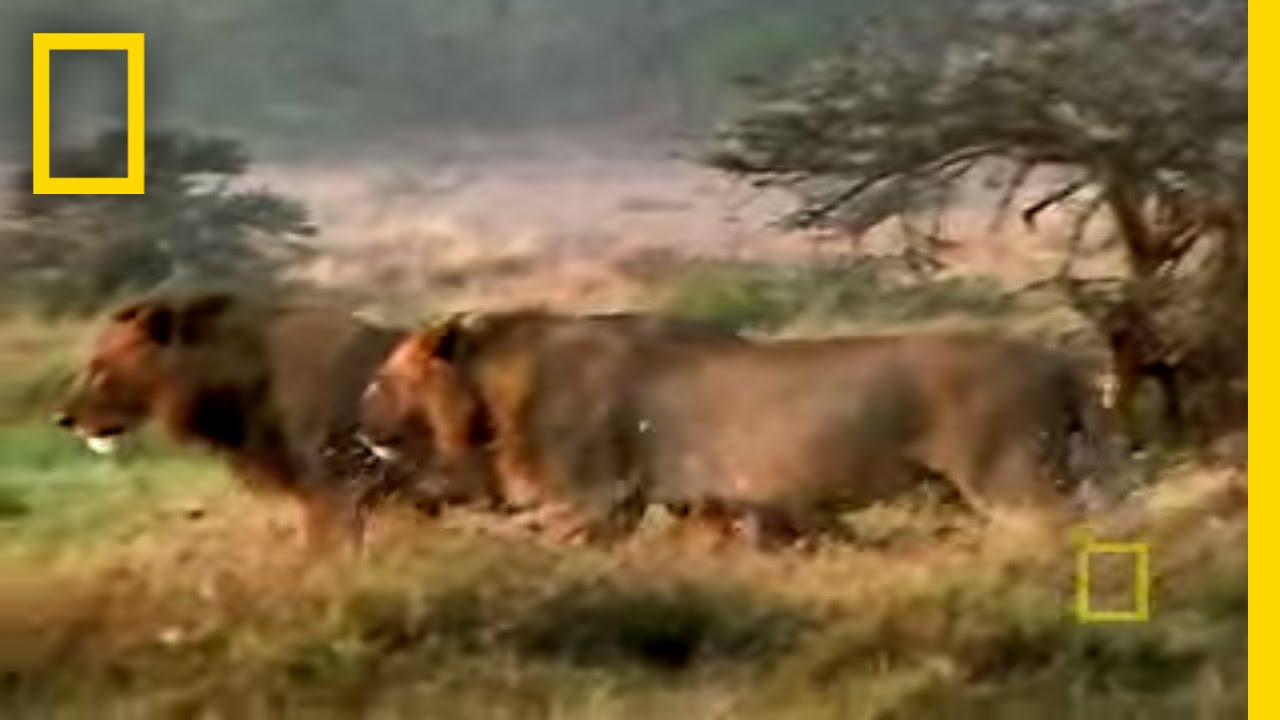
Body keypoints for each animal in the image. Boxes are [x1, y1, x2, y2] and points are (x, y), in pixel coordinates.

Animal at [361, 313, 1120, 546]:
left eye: (387, 375)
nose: (363, 406)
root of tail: (1057, 361)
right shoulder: (667, 505)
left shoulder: (592, 499)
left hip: (1015, 482)